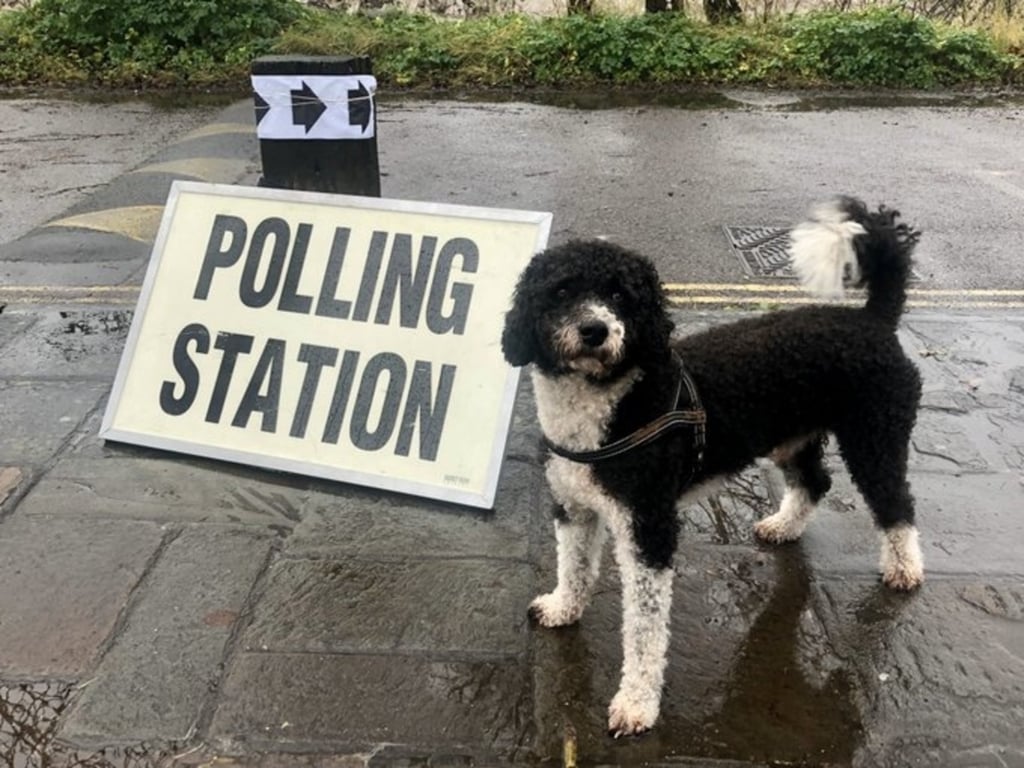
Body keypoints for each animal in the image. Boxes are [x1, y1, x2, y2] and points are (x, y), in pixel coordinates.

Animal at [499, 198, 925, 741]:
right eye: (561, 290)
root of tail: (874, 318)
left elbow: (645, 628)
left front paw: (637, 704)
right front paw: (563, 607)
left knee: (895, 502)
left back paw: (904, 569)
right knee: (816, 482)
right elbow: (573, 567)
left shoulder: (649, 526)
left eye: (619, 294)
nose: (595, 330)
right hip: (794, 437)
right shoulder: (574, 506)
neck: (617, 401)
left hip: (875, 436)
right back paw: (784, 526)